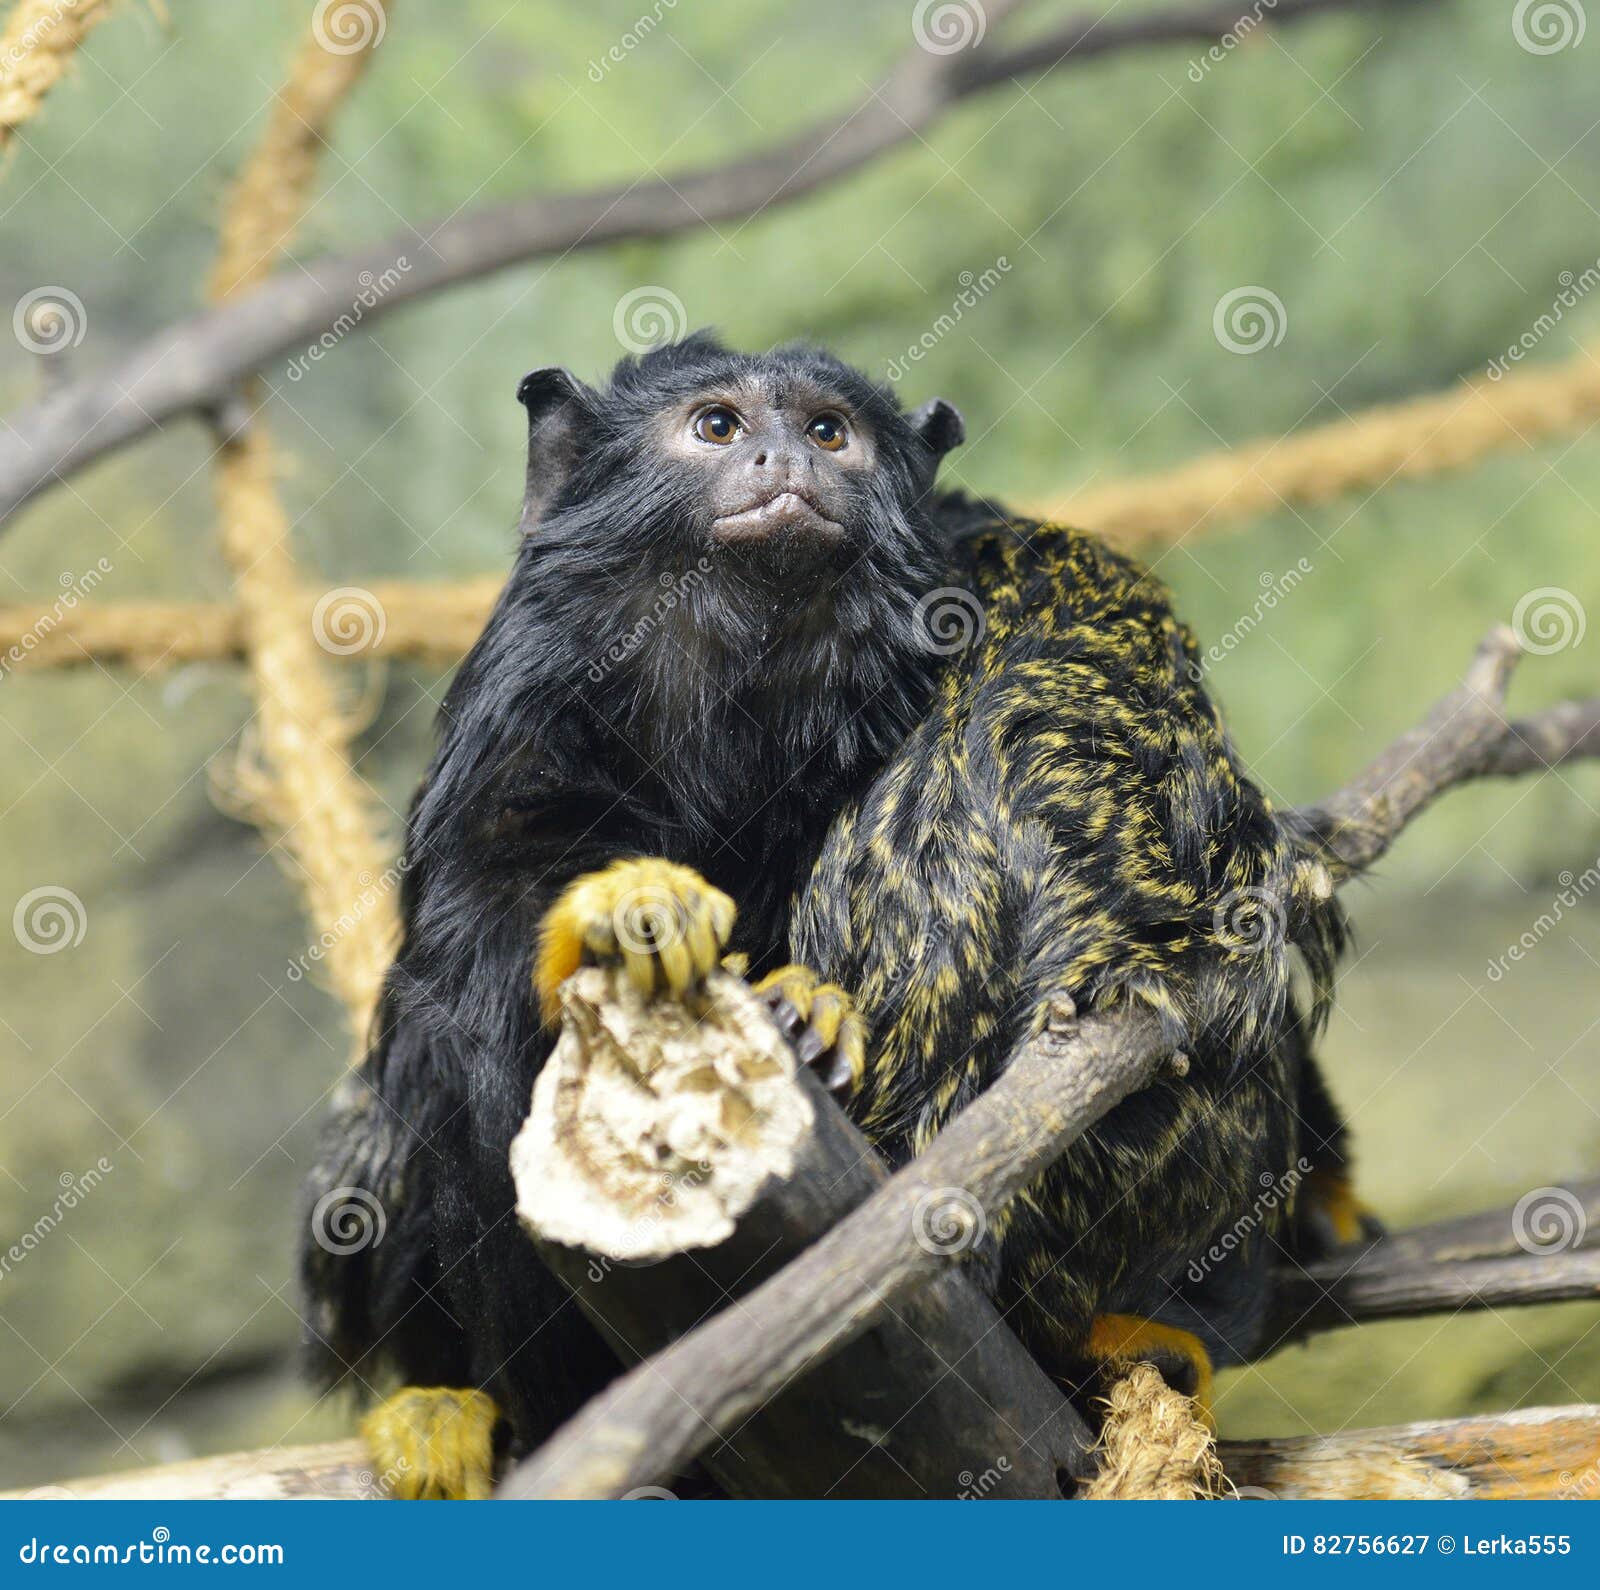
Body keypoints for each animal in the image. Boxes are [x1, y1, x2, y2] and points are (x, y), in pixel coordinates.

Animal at [300, 334, 966, 1499]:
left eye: (830, 430)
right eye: (717, 427)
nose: (786, 457)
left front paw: (808, 1003)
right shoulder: (532, 679)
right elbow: (473, 926)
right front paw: (627, 903)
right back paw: (458, 1402)